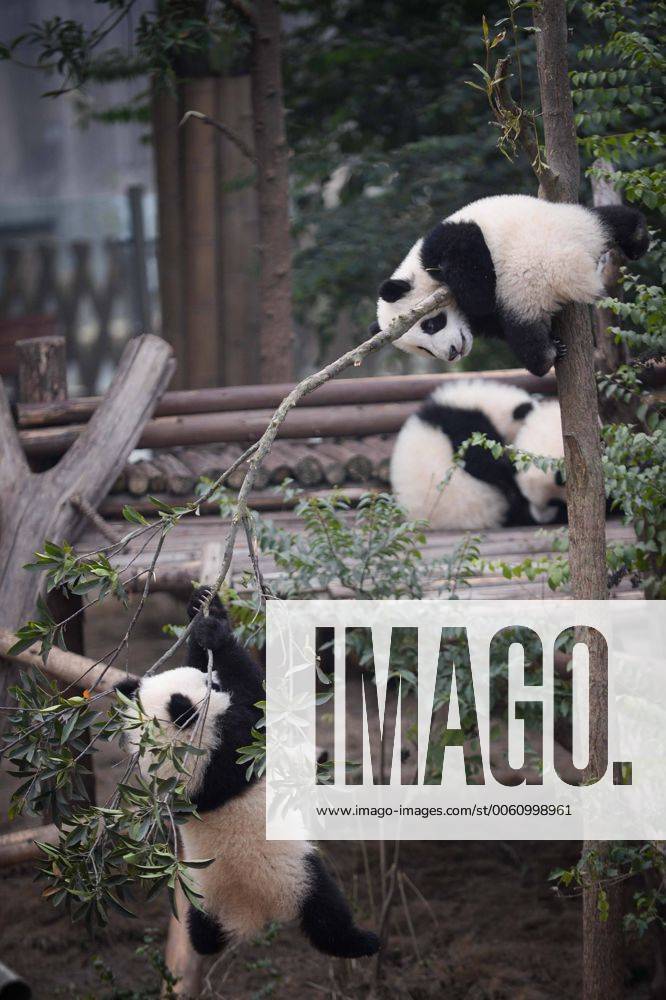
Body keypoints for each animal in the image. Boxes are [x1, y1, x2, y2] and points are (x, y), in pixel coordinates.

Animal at [118, 589, 379, 960]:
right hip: (294, 874)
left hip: (201, 893)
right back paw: (362, 942)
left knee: (201, 933)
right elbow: (257, 705)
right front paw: (216, 634)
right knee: (325, 913)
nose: (214, 679)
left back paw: (204, 941)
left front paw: (202, 610)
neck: (171, 757)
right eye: (211, 683)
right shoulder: (225, 751)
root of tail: (249, 913)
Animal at [372, 194, 649, 376]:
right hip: (582, 225)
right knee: (613, 219)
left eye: (431, 325)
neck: (416, 270)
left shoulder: (448, 242)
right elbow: (488, 316)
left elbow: (479, 294)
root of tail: (567, 263)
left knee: (521, 326)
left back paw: (542, 358)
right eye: (423, 350)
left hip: (523, 283)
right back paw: (637, 238)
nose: (451, 353)